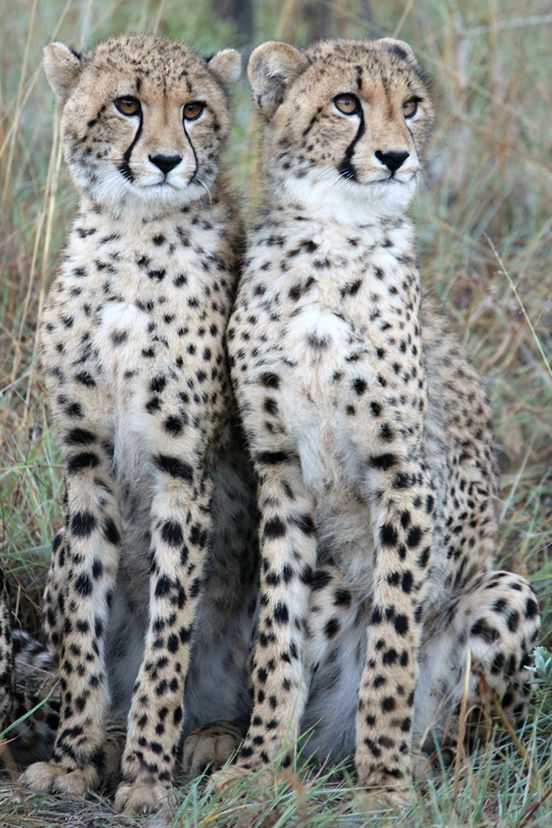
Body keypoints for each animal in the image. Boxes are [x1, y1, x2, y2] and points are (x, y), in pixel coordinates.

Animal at [19, 35, 258, 815]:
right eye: (127, 104)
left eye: (193, 109)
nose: (165, 161)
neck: (130, 236)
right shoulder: (85, 465)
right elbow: (83, 628)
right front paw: (74, 759)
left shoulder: (183, 474)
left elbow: (169, 630)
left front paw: (148, 775)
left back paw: (211, 737)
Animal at [214, 37, 541, 804]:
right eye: (346, 103)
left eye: (411, 105)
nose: (395, 155)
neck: (333, 238)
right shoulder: (279, 474)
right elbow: (275, 637)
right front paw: (256, 763)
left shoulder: (404, 477)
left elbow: (393, 642)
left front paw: (385, 782)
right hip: (326, 583)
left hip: (507, 592)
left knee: (470, 734)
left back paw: (415, 761)